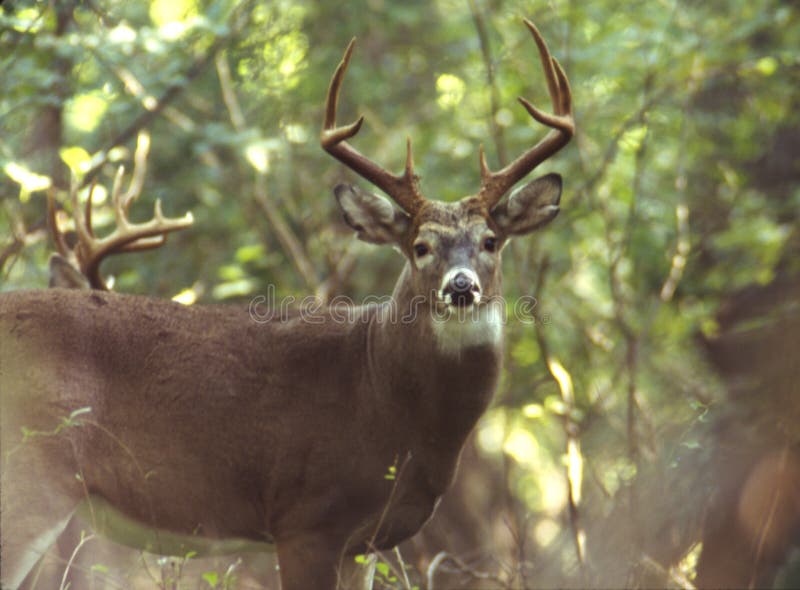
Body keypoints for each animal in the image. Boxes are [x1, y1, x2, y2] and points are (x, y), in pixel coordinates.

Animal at [0, 19, 573, 590]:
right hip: (31, 477)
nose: (461, 287)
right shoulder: (306, 517)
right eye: (420, 246)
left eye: (491, 241)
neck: (381, 389)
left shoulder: (367, 541)